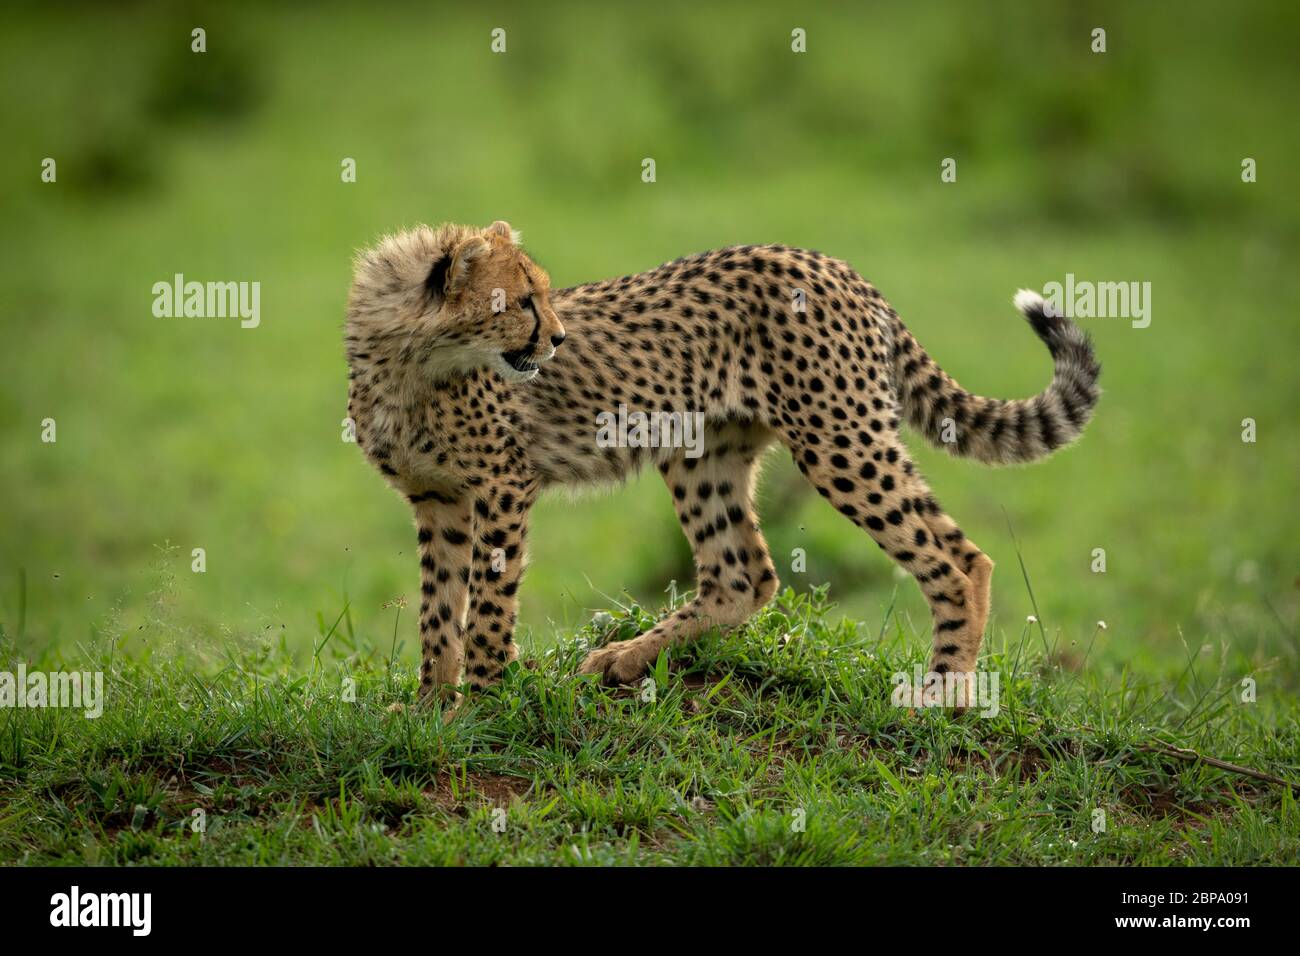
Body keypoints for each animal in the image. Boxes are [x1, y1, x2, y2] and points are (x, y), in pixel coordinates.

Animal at [344, 219, 1100, 709]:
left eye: (544, 295)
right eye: (523, 300)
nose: (557, 339)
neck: (409, 361)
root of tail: (833, 264)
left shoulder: (502, 483)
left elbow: (488, 601)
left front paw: (484, 698)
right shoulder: (438, 498)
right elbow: (438, 606)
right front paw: (431, 705)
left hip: (839, 438)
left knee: (956, 557)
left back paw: (943, 689)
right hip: (703, 449)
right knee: (745, 574)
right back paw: (625, 657)